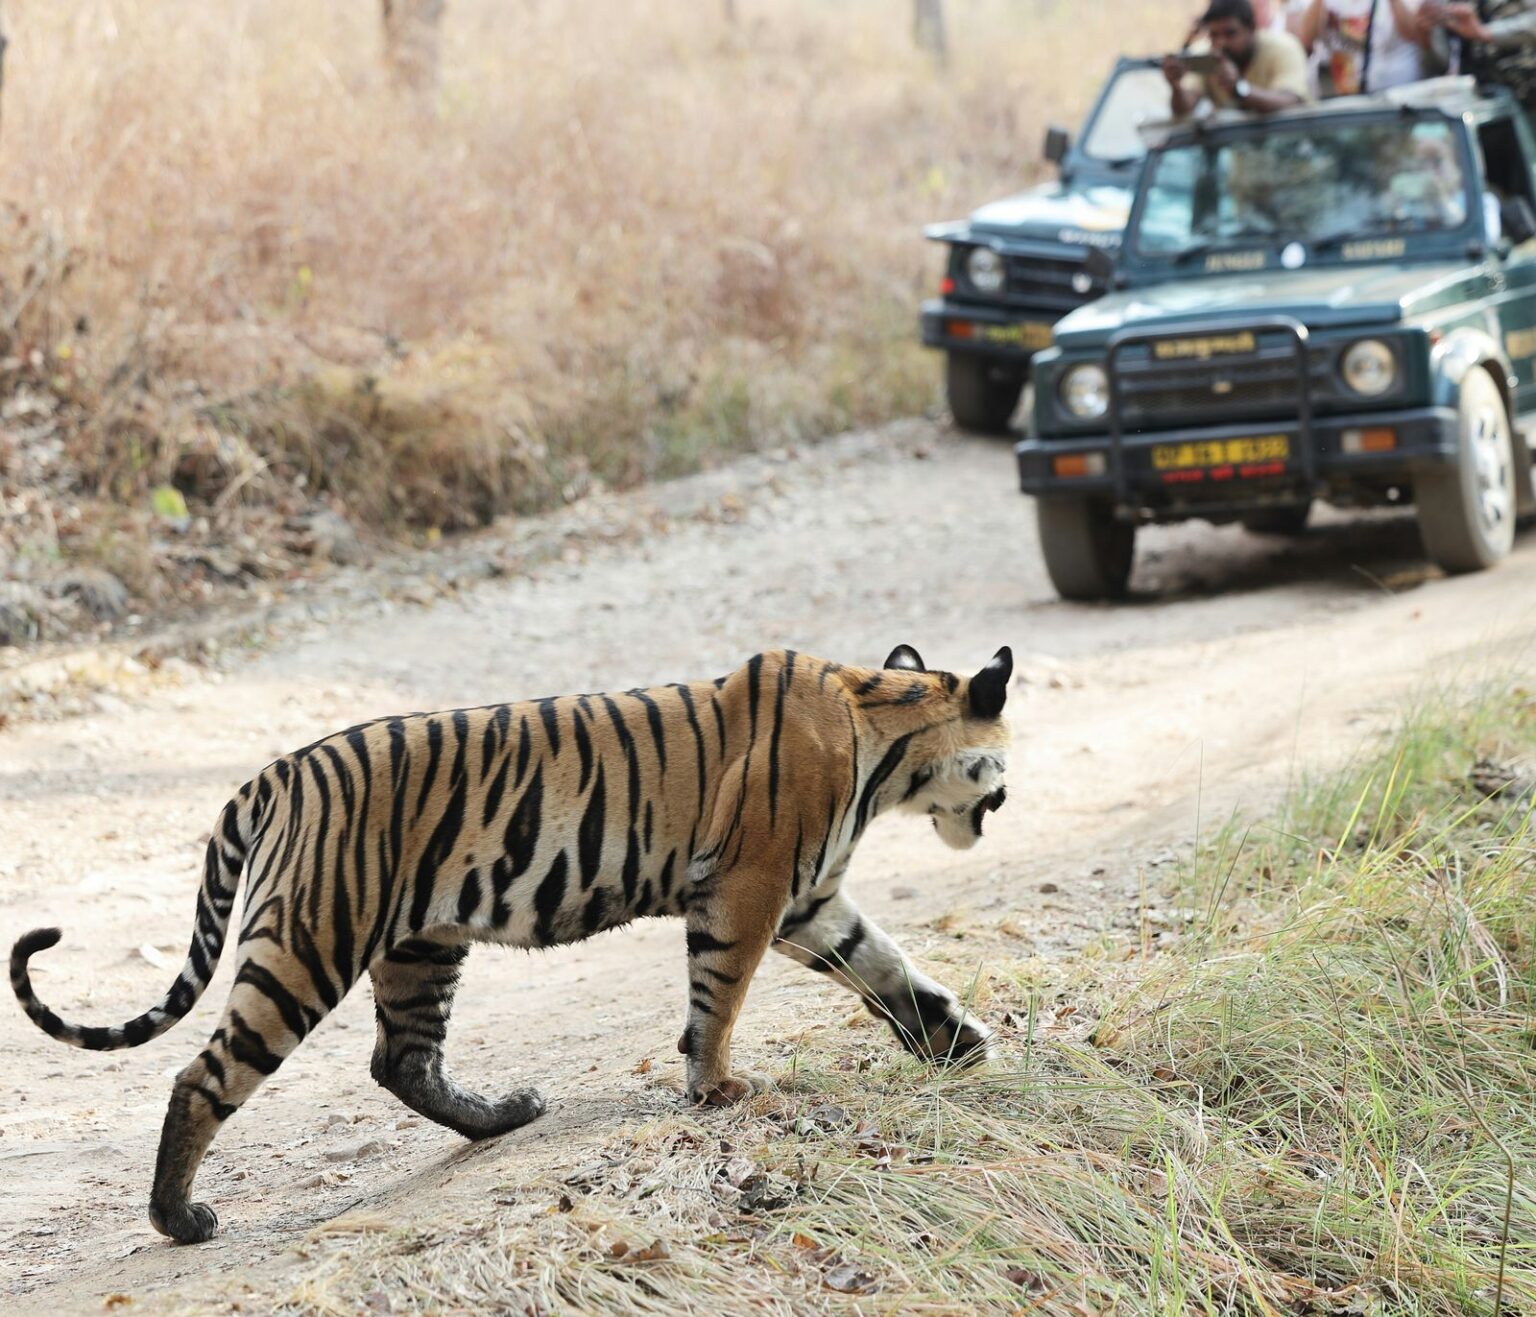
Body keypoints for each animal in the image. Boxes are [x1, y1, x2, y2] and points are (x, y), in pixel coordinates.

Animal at [10, 644, 1012, 1244]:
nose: (1006, 799)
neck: (881, 735)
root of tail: (276, 773)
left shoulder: (808, 898)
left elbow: (885, 966)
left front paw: (958, 1043)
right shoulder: (750, 885)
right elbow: (719, 993)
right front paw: (717, 1088)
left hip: (419, 944)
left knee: (403, 1061)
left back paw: (505, 1115)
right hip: (308, 943)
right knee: (204, 1074)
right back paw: (177, 1217)